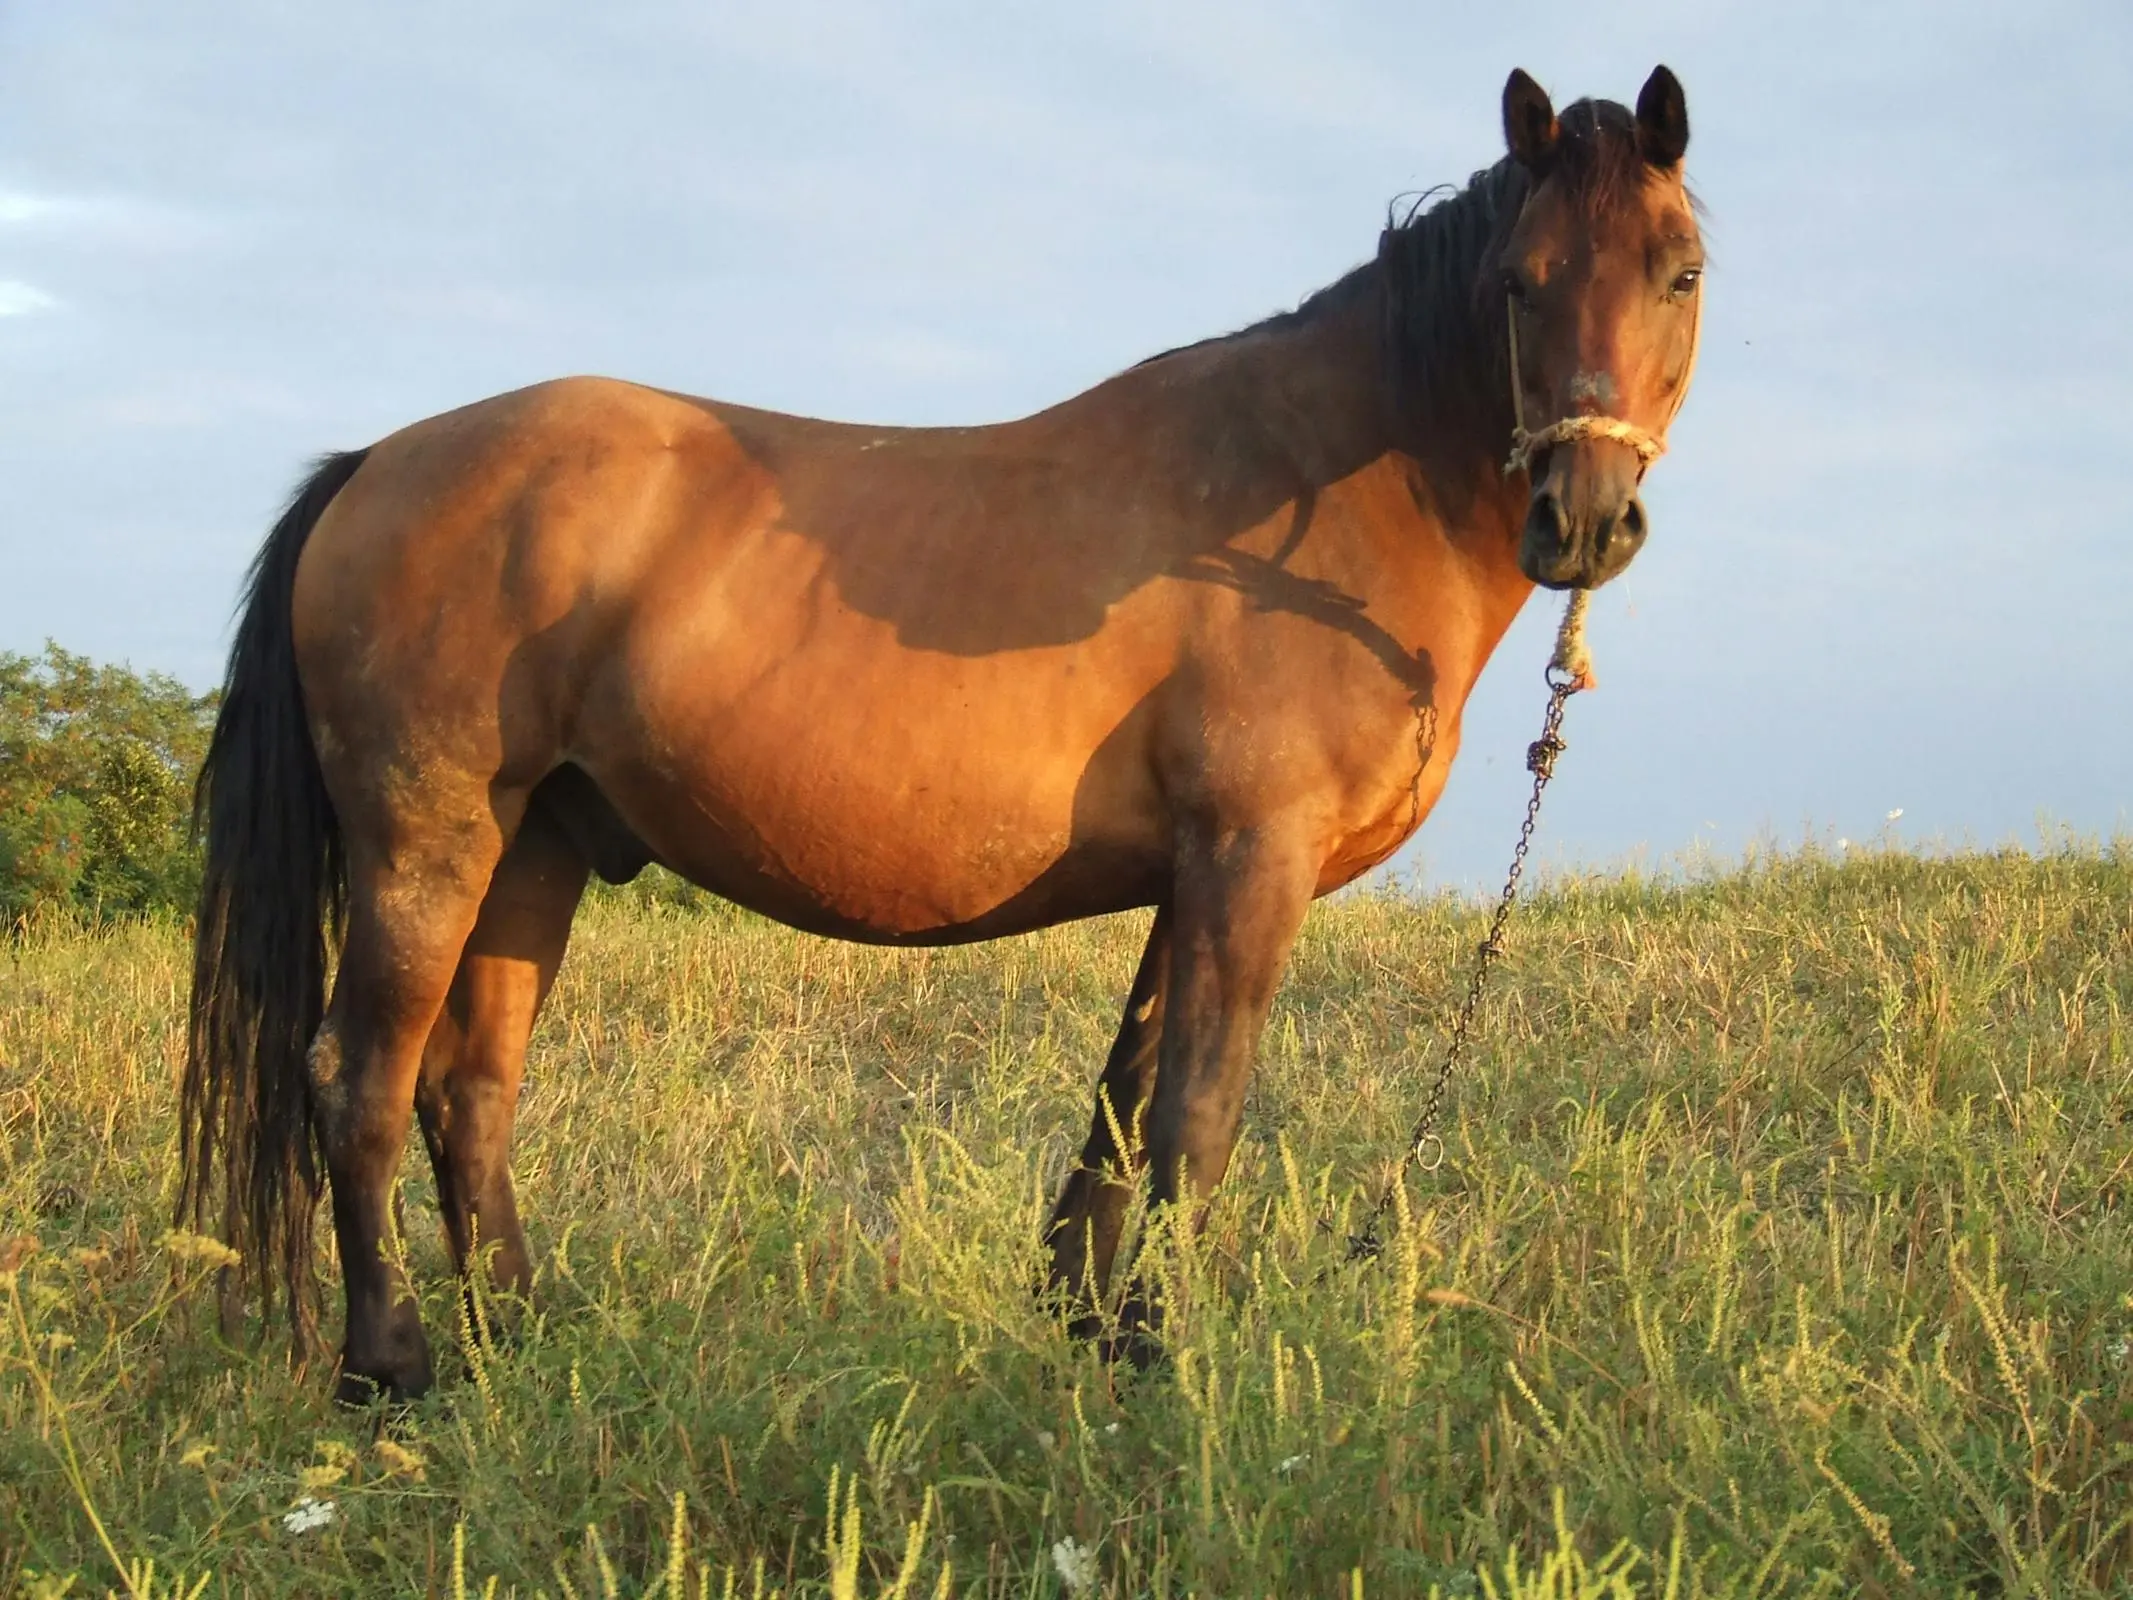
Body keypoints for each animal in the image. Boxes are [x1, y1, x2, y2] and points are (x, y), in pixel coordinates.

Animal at [181, 66, 1703, 1403]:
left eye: (1679, 271)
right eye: (1515, 280)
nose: (1580, 516)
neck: (1298, 505)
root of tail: (373, 463)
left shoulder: (1189, 878)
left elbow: (1120, 1113)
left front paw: (1090, 1338)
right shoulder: (1249, 859)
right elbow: (1196, 1117)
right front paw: (1163, 1357)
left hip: (535, 849)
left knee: (470, 1089)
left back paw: (520, 1339)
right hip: (427, 841)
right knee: (360, 1080)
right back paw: (393, 1369)